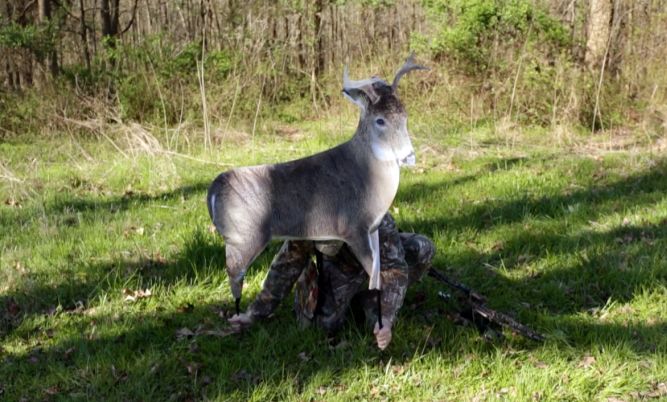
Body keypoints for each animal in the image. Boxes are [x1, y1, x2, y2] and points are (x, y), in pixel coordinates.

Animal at [207, 54, 427, 330]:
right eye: (380, 120)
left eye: (406, 116)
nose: (409, 156)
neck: (369, 177)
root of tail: (212, 191)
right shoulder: (353, 227)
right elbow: (373, 276)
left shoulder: (373, 228)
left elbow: (376, 273)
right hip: (243, 238)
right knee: (234, 276)